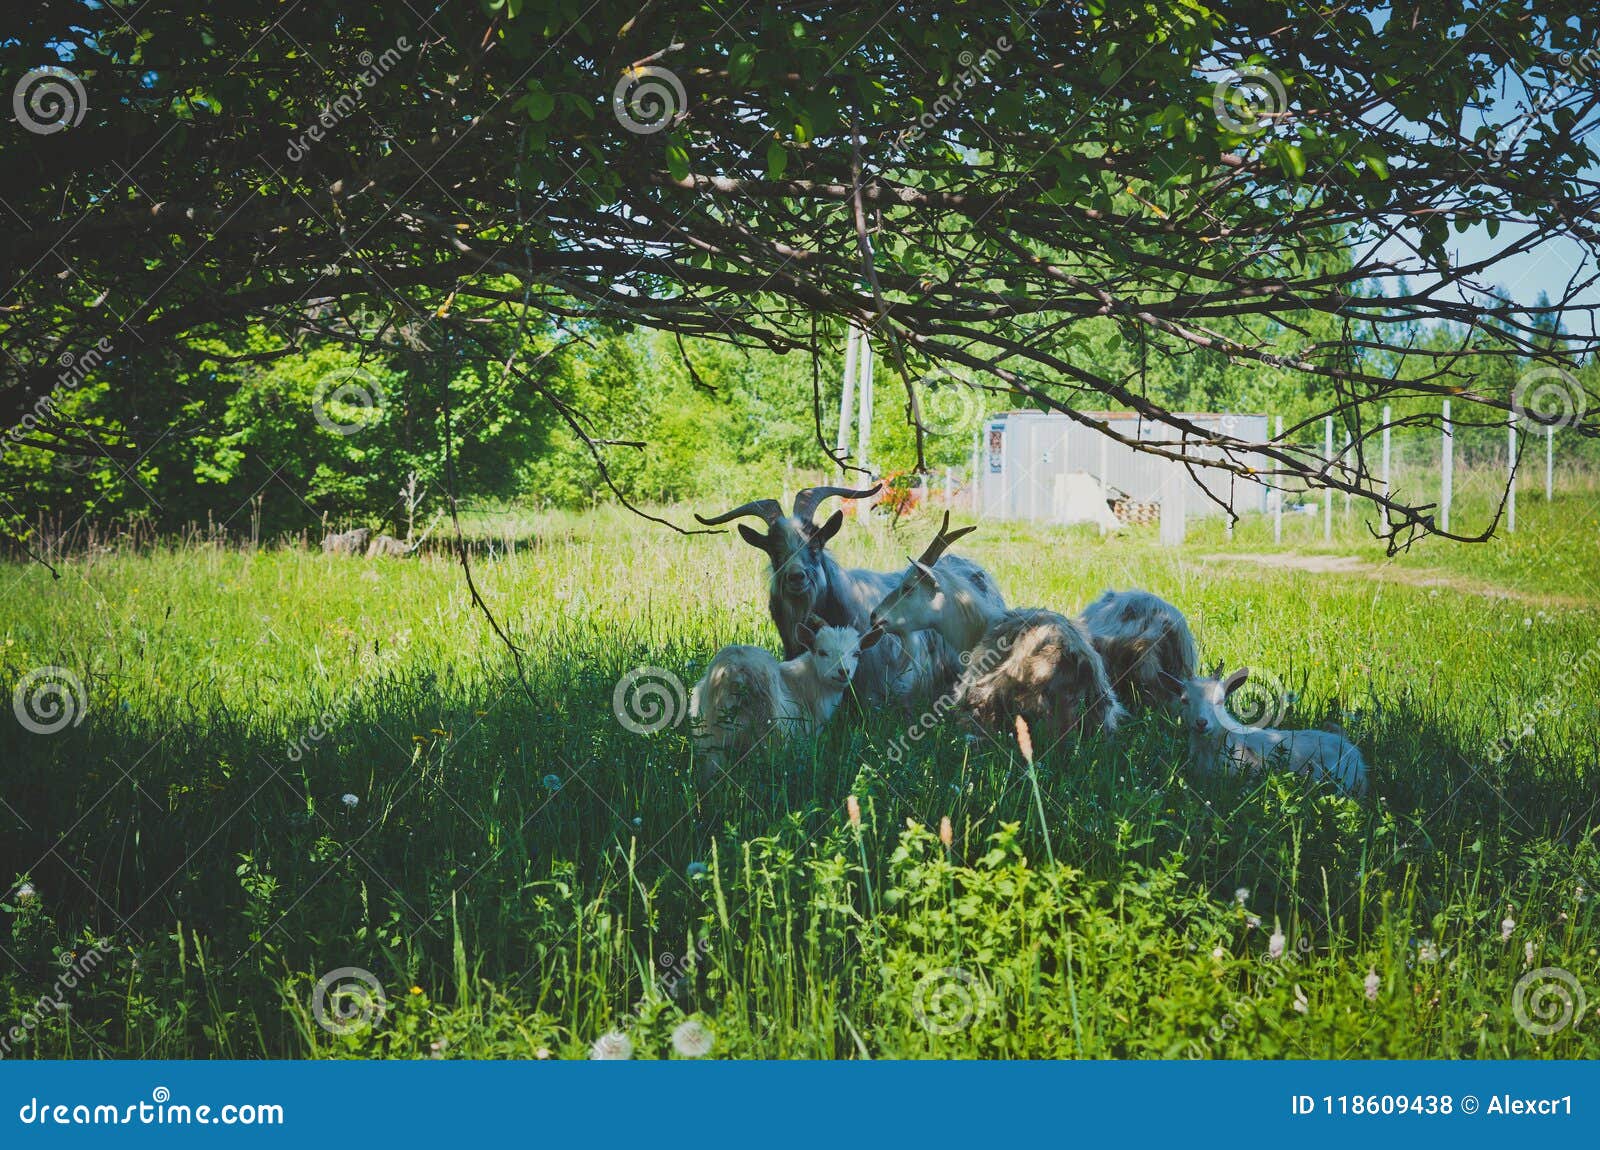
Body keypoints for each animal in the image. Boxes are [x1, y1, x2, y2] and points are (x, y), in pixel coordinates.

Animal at [689, 622, 884, 783]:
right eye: (821, 652)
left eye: (857, 653)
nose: (843, 671)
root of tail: (734, 669)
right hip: (769, 728)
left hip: (709, 733)